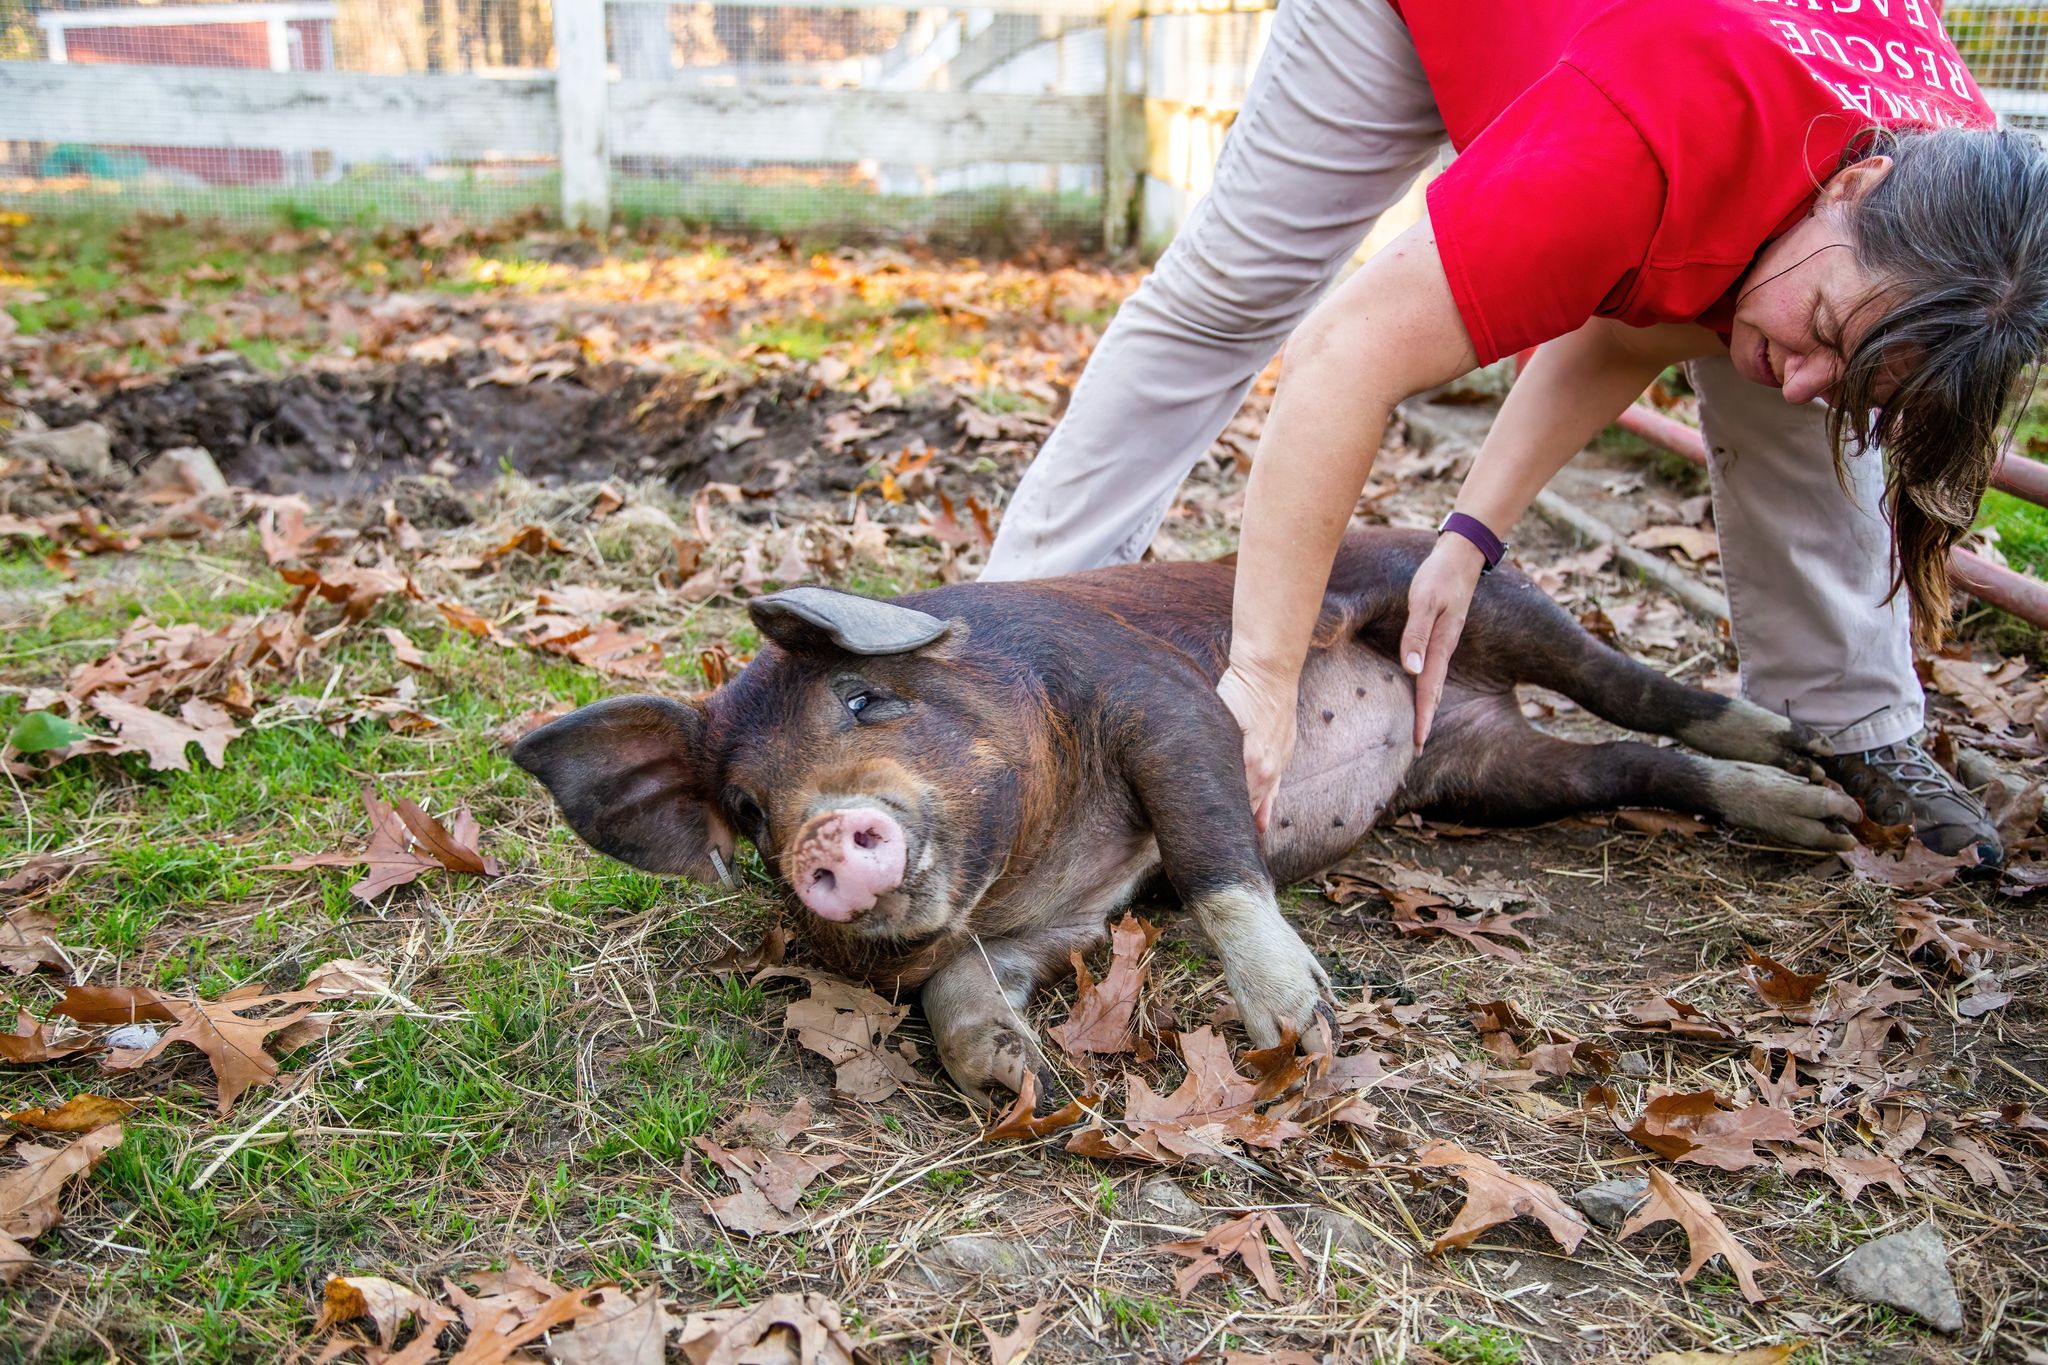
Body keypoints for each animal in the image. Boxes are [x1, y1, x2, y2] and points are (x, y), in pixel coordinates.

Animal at [512, 528, 1861, 1105]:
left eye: (863, 696)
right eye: (747, 807)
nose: (817, 841)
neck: (1037, 858)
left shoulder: (1165, 707)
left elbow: (1216, 851)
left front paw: (1299, 1031)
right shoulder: (1044, 924)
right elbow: (954, 983)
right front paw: (1015, 1074)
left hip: (1478, 598)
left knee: (1638, 690)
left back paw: (1812, 775)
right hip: (1487, 773)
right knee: (1627, 761)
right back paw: (1812, 819)